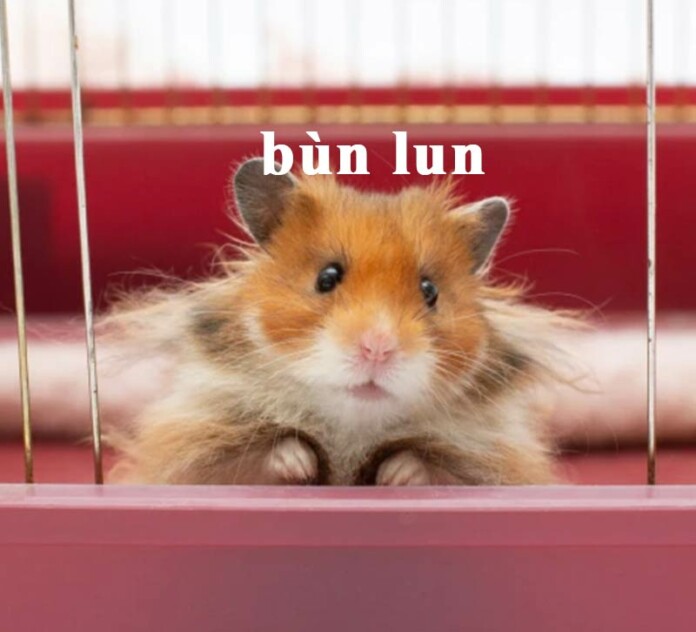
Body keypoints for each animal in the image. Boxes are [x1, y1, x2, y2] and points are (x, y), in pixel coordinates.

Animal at [106, 158, 574, 486]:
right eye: (326, 277)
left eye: (430, 292)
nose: (378, 348)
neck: (351, 430)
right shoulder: (193, 449)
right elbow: (262, 458)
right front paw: (296, 461)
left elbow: (427, 467)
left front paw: (397, 474)